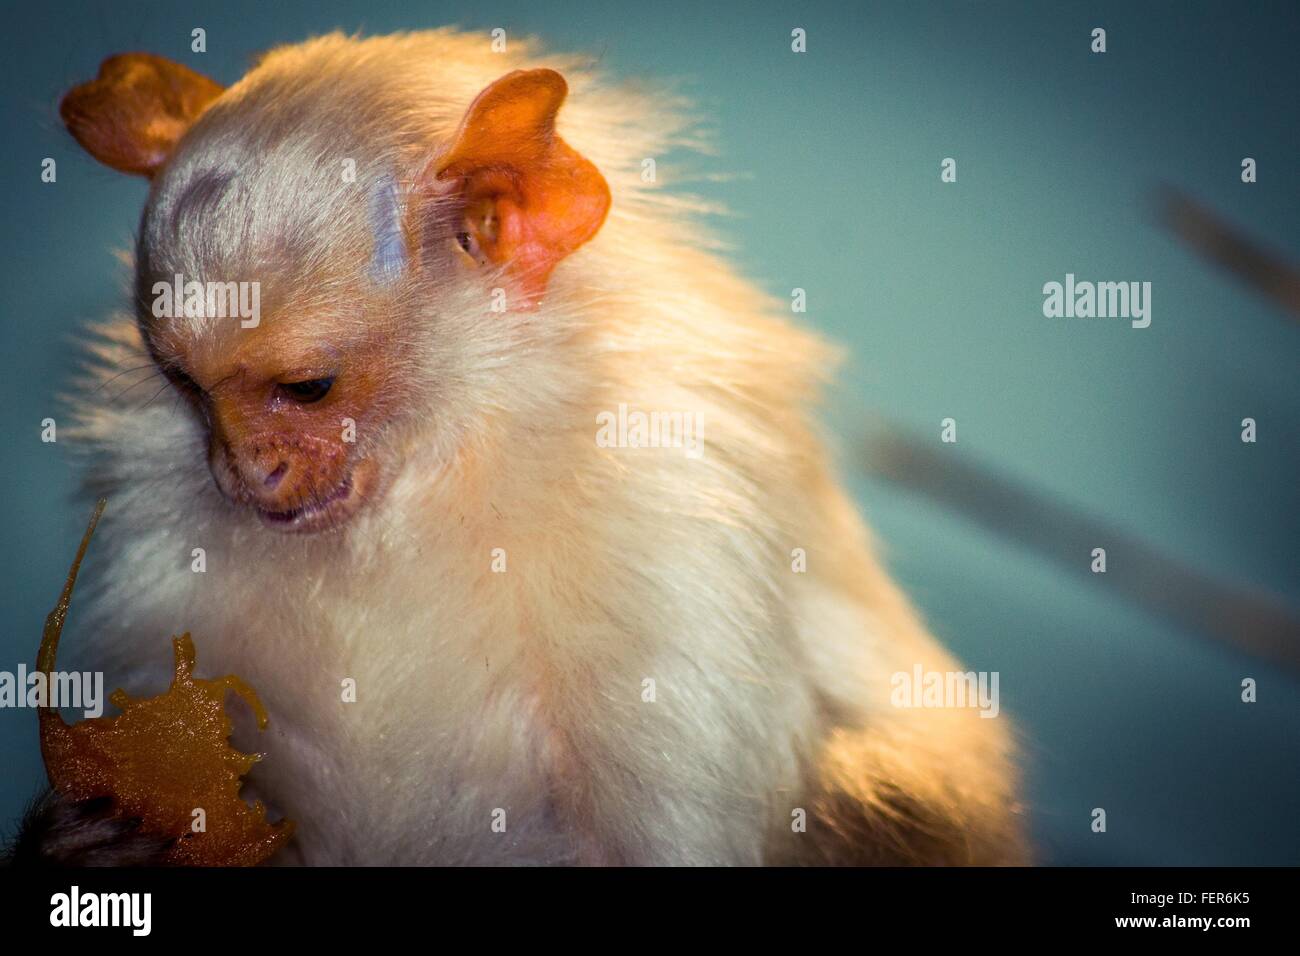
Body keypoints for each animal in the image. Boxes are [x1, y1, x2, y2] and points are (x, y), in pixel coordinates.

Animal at [21, 29, 1027, 865]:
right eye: (188, 389)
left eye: (309, 389)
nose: (244, 473)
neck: (439, 467)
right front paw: (94, 838)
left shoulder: (677, 544)